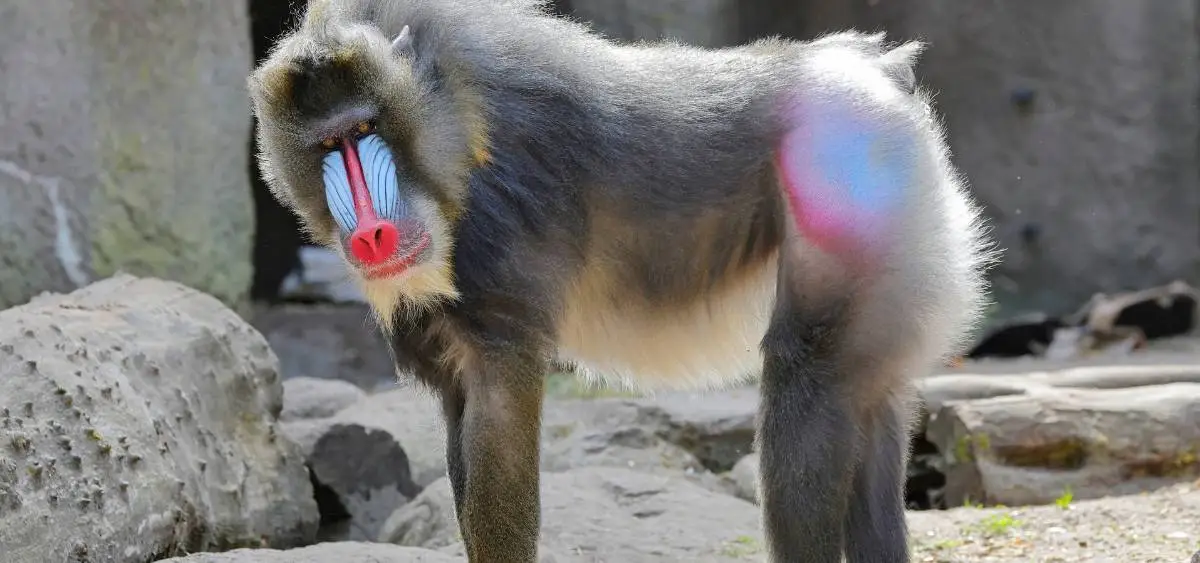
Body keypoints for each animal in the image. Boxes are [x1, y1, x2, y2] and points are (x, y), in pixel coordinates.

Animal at [247, 1, 995, 561]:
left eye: (366, 128)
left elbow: (499, 439)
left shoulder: (499, 304)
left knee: (807, 381)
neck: (446, 115)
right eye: (328, 145)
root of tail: (871, 69)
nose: (371, 235)